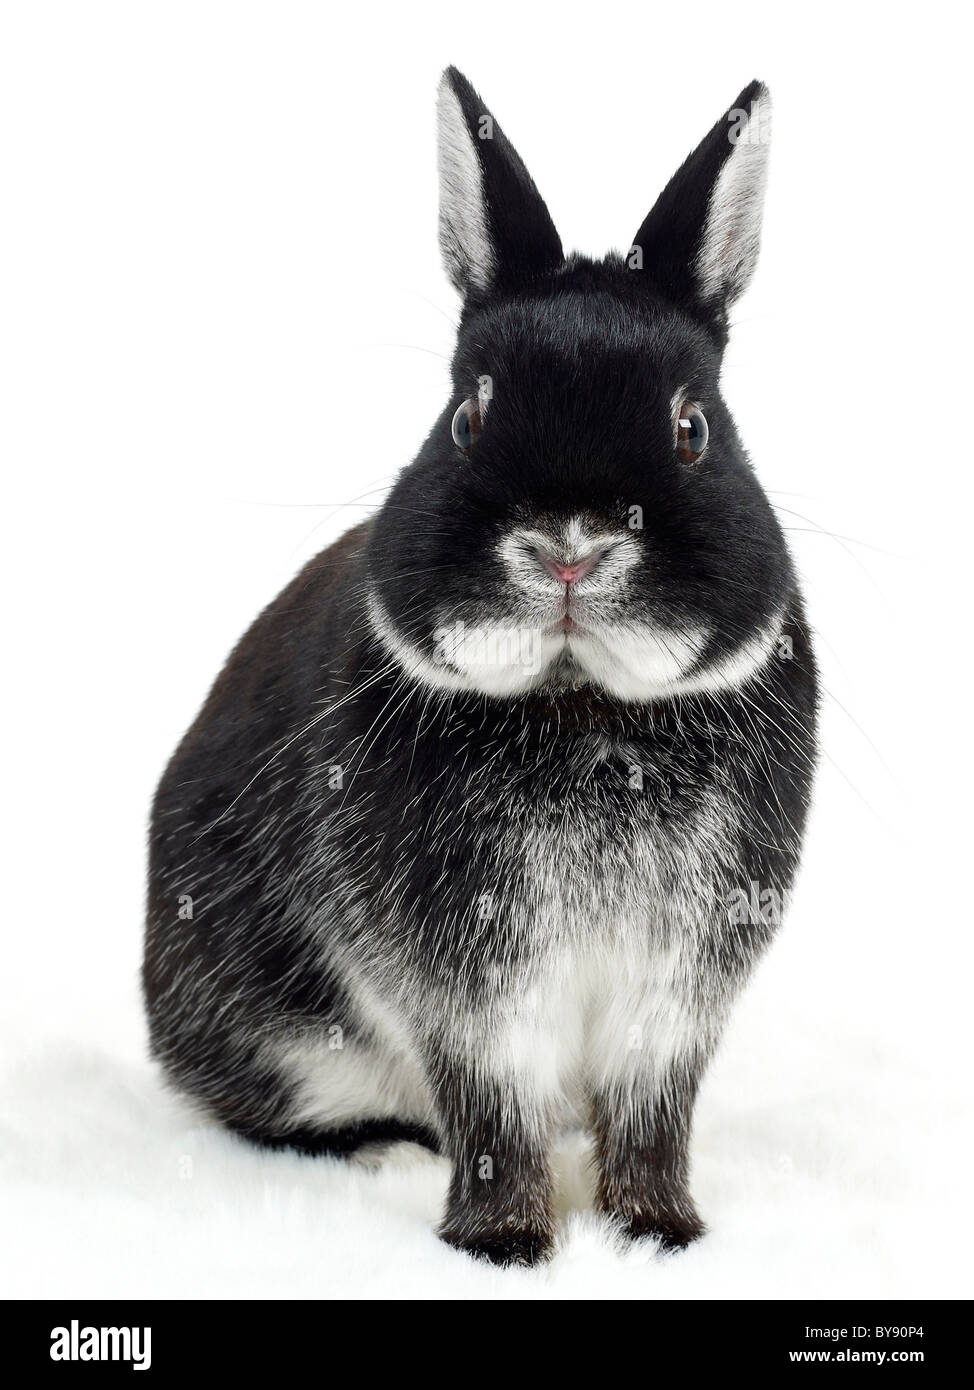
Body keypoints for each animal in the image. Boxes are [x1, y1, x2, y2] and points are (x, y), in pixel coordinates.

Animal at [144, 67, 818, 1267]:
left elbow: (651, 1113)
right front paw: (505, 1245)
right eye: (466, 416)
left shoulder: (675, 997)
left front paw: (659, 1233)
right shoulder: (475, 992)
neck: (582, 701)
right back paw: (386, 1154)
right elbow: (492, 1103)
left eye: (692, 427)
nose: (568, 546)